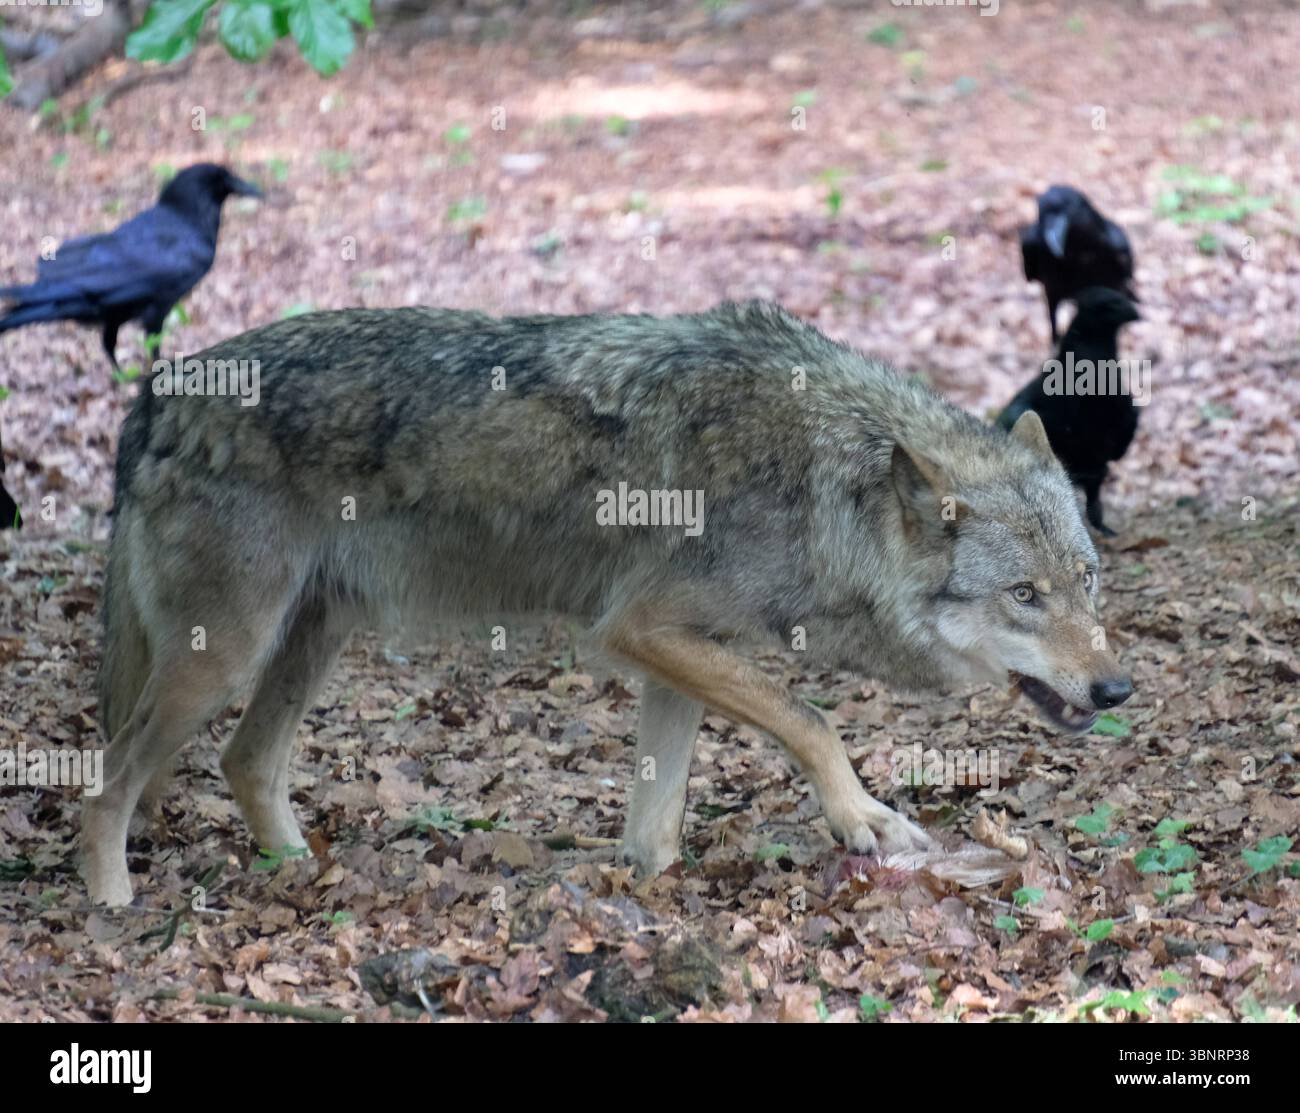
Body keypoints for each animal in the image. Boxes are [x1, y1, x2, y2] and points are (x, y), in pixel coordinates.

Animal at [86, 301, 1132, 906]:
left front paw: (654, 898)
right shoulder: (639, 629)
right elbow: (812, 717)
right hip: (221, 655)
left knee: (245, 760)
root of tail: (160, 391)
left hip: (310, 640)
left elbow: (657, 819)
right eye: (1024, 595)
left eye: (1087, 580)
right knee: (110, 773)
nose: (1117, 688)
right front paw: (862, 818)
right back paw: (109, 901)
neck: (824, 485)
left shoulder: (678, 649)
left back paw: (302, 874)